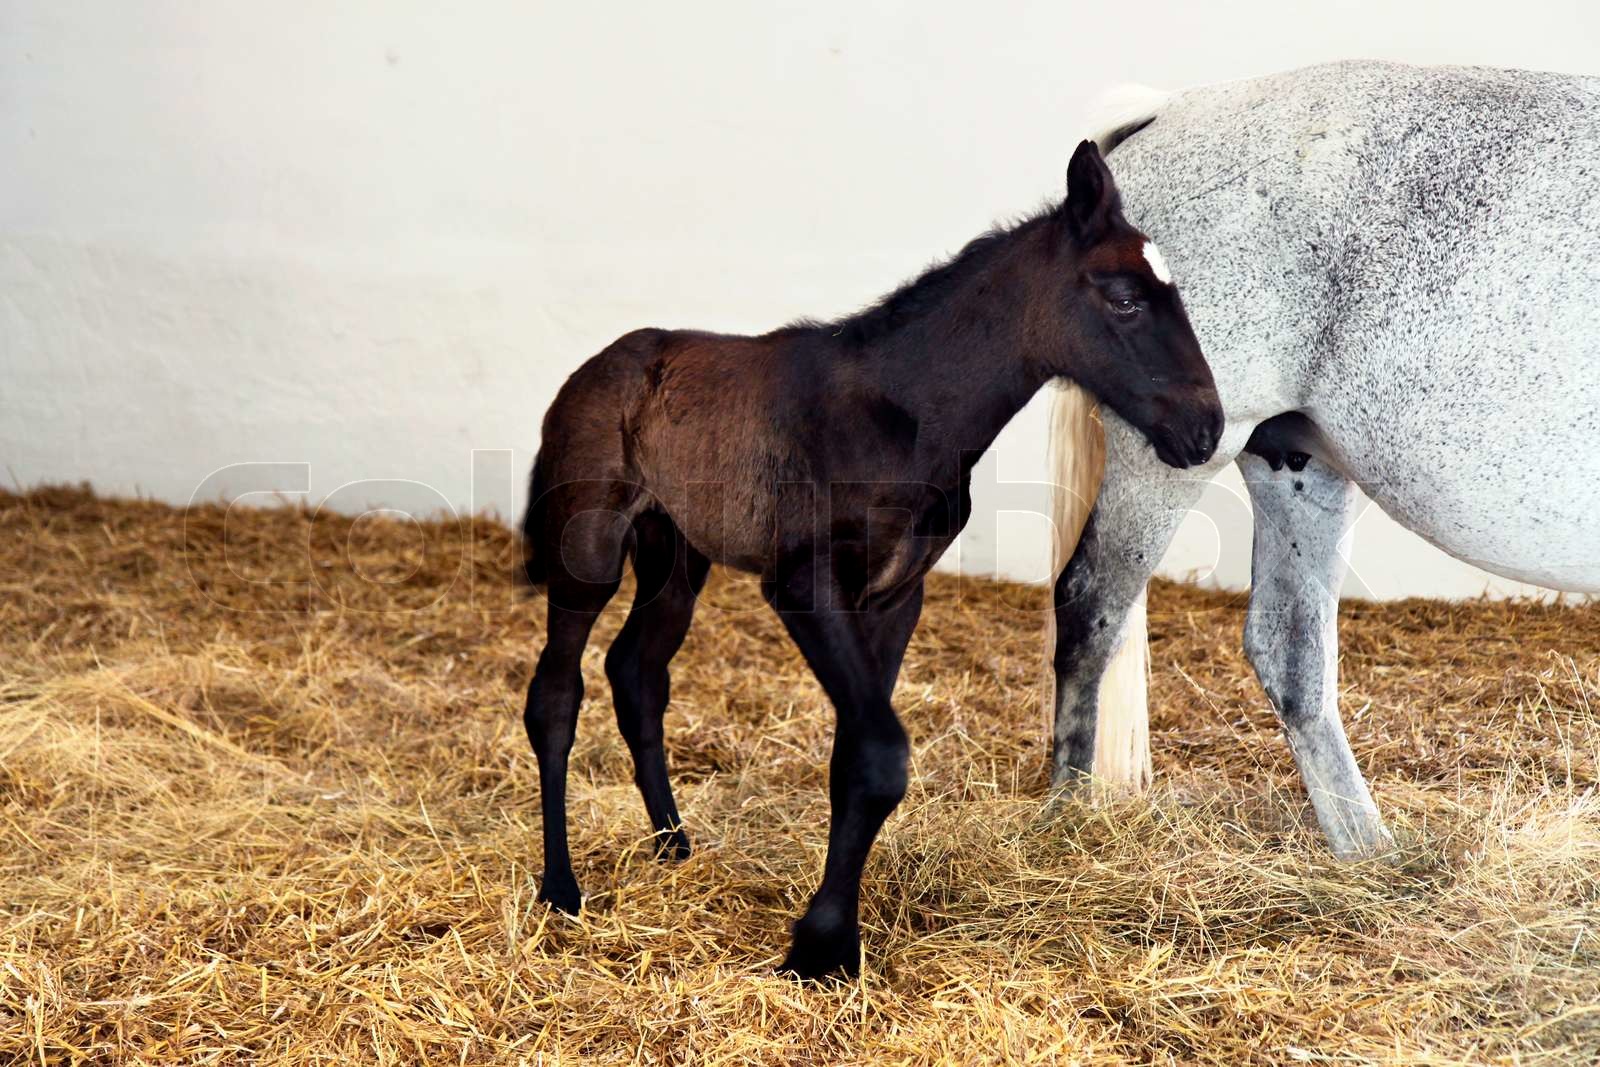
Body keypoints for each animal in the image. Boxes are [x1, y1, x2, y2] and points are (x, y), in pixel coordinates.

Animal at [520, 139, 1223, 979]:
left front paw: (828, 935)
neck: (903, 412)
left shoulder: (896, 594)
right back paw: (560, 887)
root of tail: (592, 370)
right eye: (1122, 298)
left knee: (636, 672)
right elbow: (883, 751)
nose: (1206, 427)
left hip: (676, 557)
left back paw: (674, 846)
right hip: (588, 549)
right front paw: (819, 944)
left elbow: (855, 755)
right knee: (556, 694)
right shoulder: (804, 584)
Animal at [1048, 60, 1600, 860]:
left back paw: (1368, 852)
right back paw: (1063, 813)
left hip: (1295, 462)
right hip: (1172, 458)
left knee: (1288, 654)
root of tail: (1172, 112)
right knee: (1089, 606)